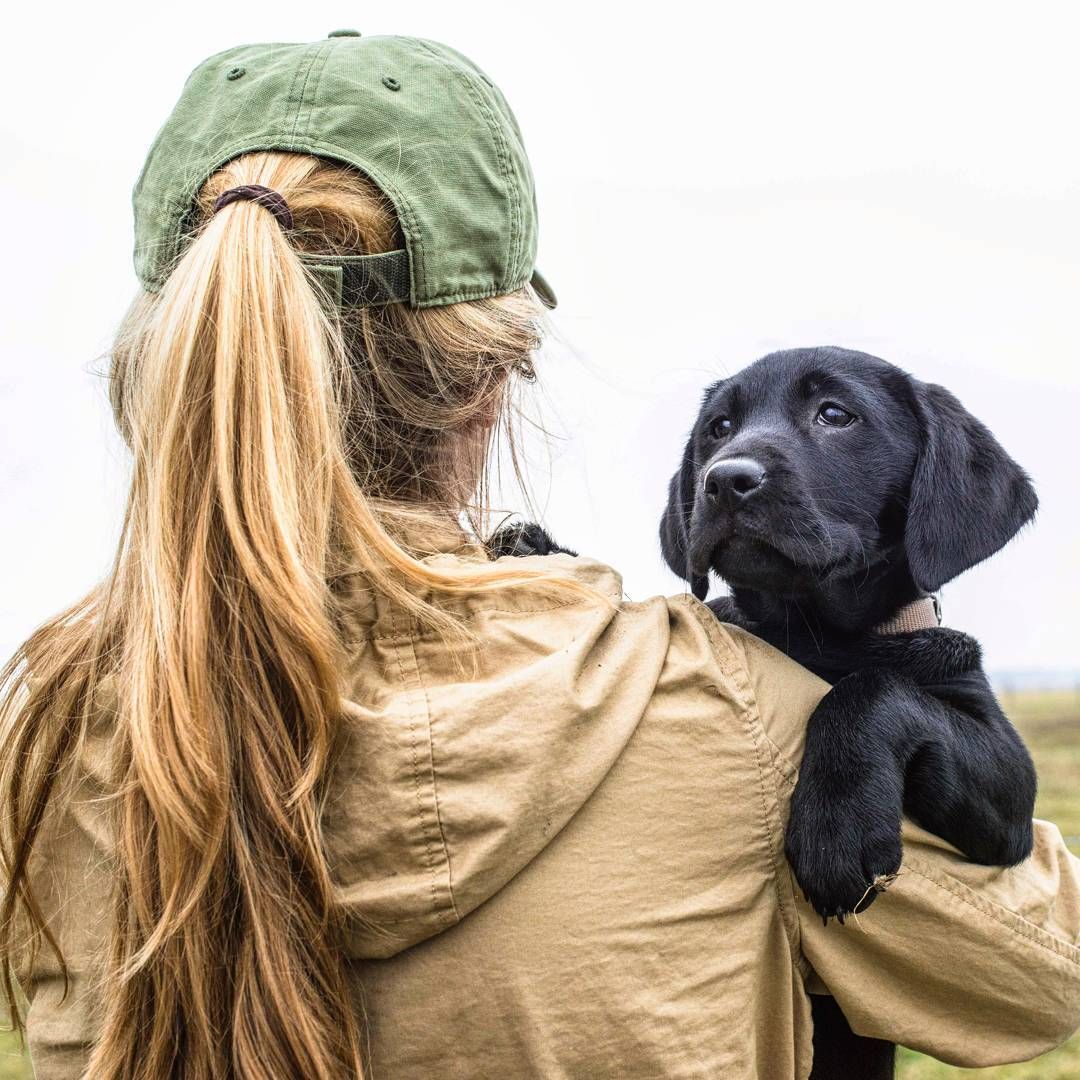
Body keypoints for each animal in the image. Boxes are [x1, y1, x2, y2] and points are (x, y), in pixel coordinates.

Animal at [490, 347, 1036, 1080]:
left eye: (834, 414)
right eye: (718, 429)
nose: (725, 480)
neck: (809, 631)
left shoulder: (1012, 798)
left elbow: (873, 686)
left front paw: (836, 830)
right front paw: (537, 548)